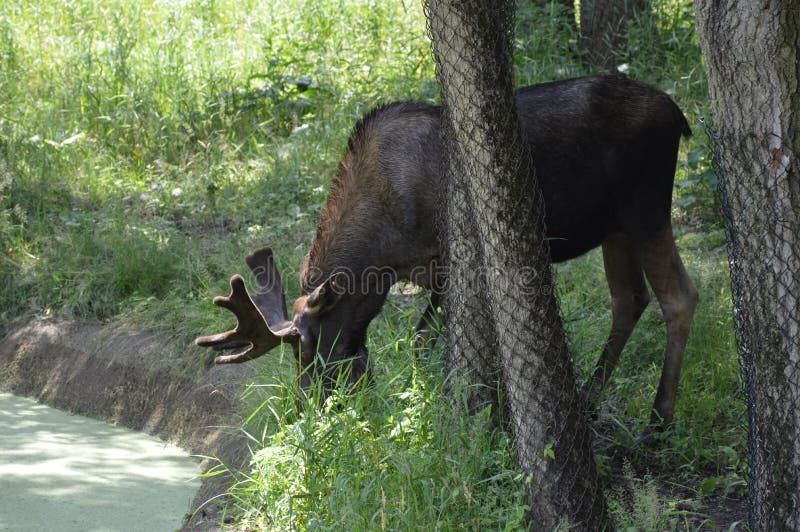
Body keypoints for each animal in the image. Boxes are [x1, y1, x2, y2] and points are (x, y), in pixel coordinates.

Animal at [196, 74, 698, 427]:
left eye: (309, 350)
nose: (305, 413)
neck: (383, 253)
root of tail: (680, 116)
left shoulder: (450, 264)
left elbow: (422, 339)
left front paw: (440, 403)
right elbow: (424, 339)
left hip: (647, 206)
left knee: (679, 296)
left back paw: (659, 418)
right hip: (614, 226)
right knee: (629, 299)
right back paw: (592, 399)